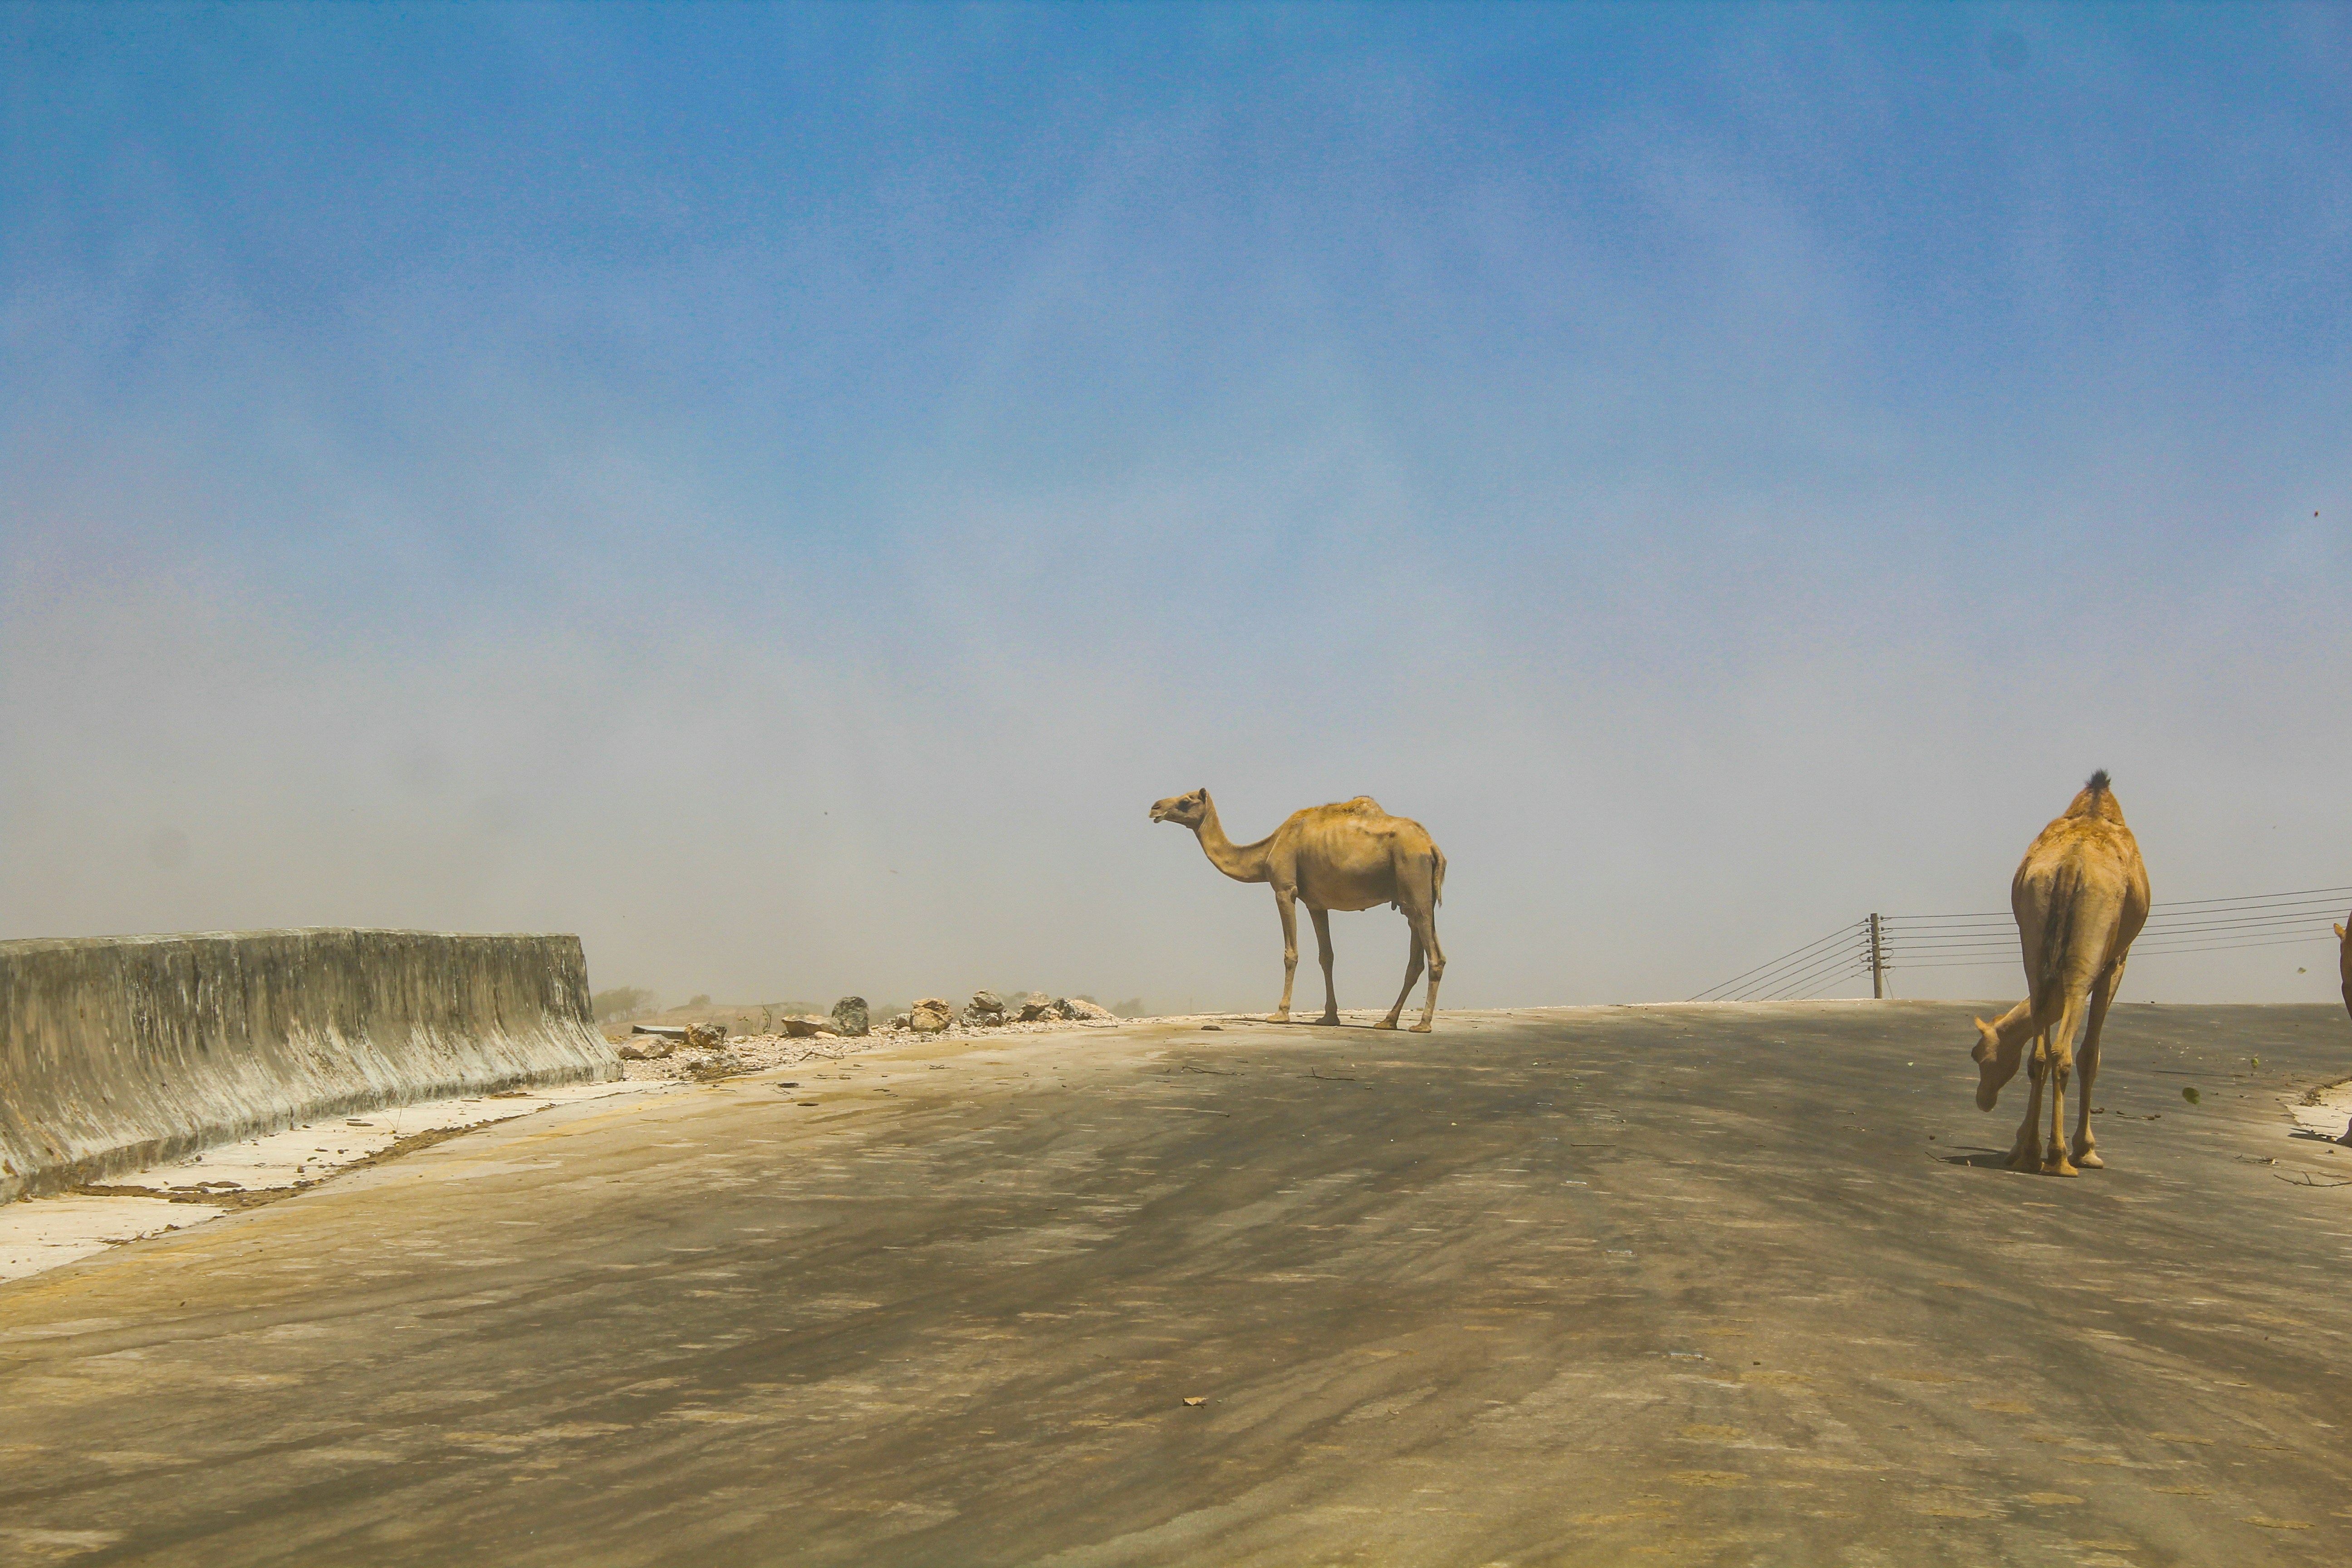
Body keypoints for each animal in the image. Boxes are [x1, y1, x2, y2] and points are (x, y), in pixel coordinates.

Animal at [1149, 790, 1447, 1031]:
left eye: (1186, 801)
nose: (1155, 807)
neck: (1270, 849)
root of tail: (1433, 847)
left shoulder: (1284, 889)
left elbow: (1290, 953)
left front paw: (1280, 1014)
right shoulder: (1316, 903)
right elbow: (1327, 957)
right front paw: (1329, 1018)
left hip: (1414, 878)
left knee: (1435, 955)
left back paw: (1423, 1025)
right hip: (1416, 898)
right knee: (1418, 954)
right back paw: (1388, 1021)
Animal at [1970, 771, 2151, 1176]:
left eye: (1977, 1054)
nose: (1983, 1100)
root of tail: (2070, 866)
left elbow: (2036, 1054)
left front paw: (2019, 1145)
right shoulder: (2115, 962)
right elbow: (2090, 1056)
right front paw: (2087, 1149)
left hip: (2034, 947)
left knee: (2040, 1054)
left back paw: (2033, 1152)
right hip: (2084, 961)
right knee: (2064, 1053)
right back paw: (2060, 1158)